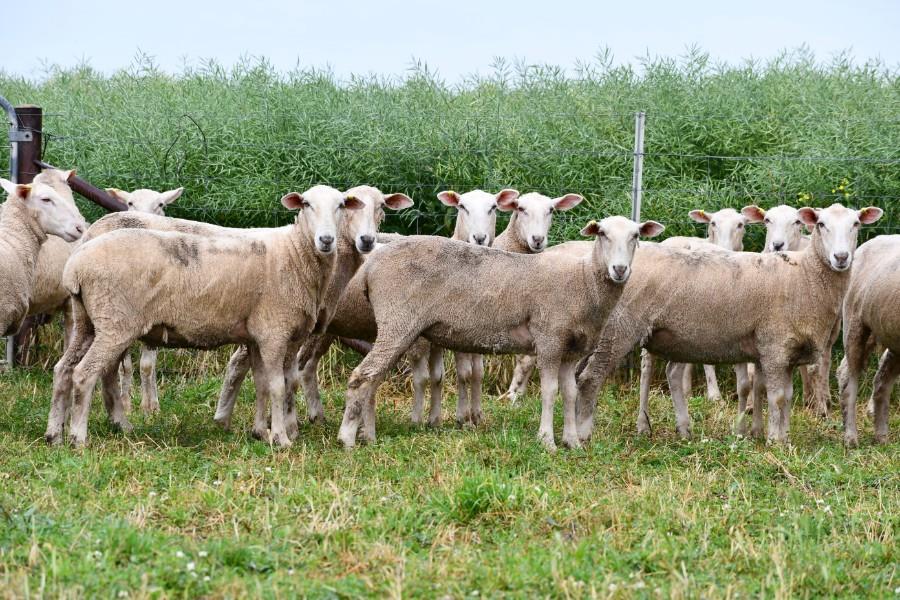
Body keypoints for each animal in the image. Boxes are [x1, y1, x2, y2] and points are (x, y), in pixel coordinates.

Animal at [44, 185, 363, 448]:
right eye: (306, 204)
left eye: (341, 205)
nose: (326, 240)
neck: (295, 253)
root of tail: (76, 264)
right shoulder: (274, 332)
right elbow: (277, 386)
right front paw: (281, 439)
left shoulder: (258, 336)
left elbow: (261, 384)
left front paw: (260, 432)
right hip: (115, 321)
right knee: (85, 374)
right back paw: (78, 437)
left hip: (90, 321)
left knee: (65, 369)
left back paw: (57, 433)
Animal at [211, 185, 414, 437]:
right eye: (351, 207)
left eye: (382, 206)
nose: (367, 240)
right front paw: (287, 425)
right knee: (240, 362)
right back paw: (224, 417)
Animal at [336, 216, 665, 451]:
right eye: (602, 234)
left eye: (636, 236)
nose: (619, 269)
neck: (583, 281)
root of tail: (370, 267)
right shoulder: (549, 339)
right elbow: (549, 392)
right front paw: (547, 441)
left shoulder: (571, 350)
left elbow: (570, 393)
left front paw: (572, 442)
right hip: (398, 322)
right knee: (362, 377)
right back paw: (347, 438)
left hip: (396, 326)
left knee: (372, 378)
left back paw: (368, 436)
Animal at [574, 204, 883, 445]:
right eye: (820, 224)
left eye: (856, 224)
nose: (841, 258)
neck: (805, 275)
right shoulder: (774, 345)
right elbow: (778, 397)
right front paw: (775, 441)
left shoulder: (784, 352)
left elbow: (786, 396)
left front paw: (781, 437)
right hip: (618, 329)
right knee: (592, 377)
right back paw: (585, 434)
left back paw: (681, 429)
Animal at [836, 234, 899, 447]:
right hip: (855, 321)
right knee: (848, 378)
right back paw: (850, 438)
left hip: (891, 334)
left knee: (881, 382)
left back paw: (881, 437)